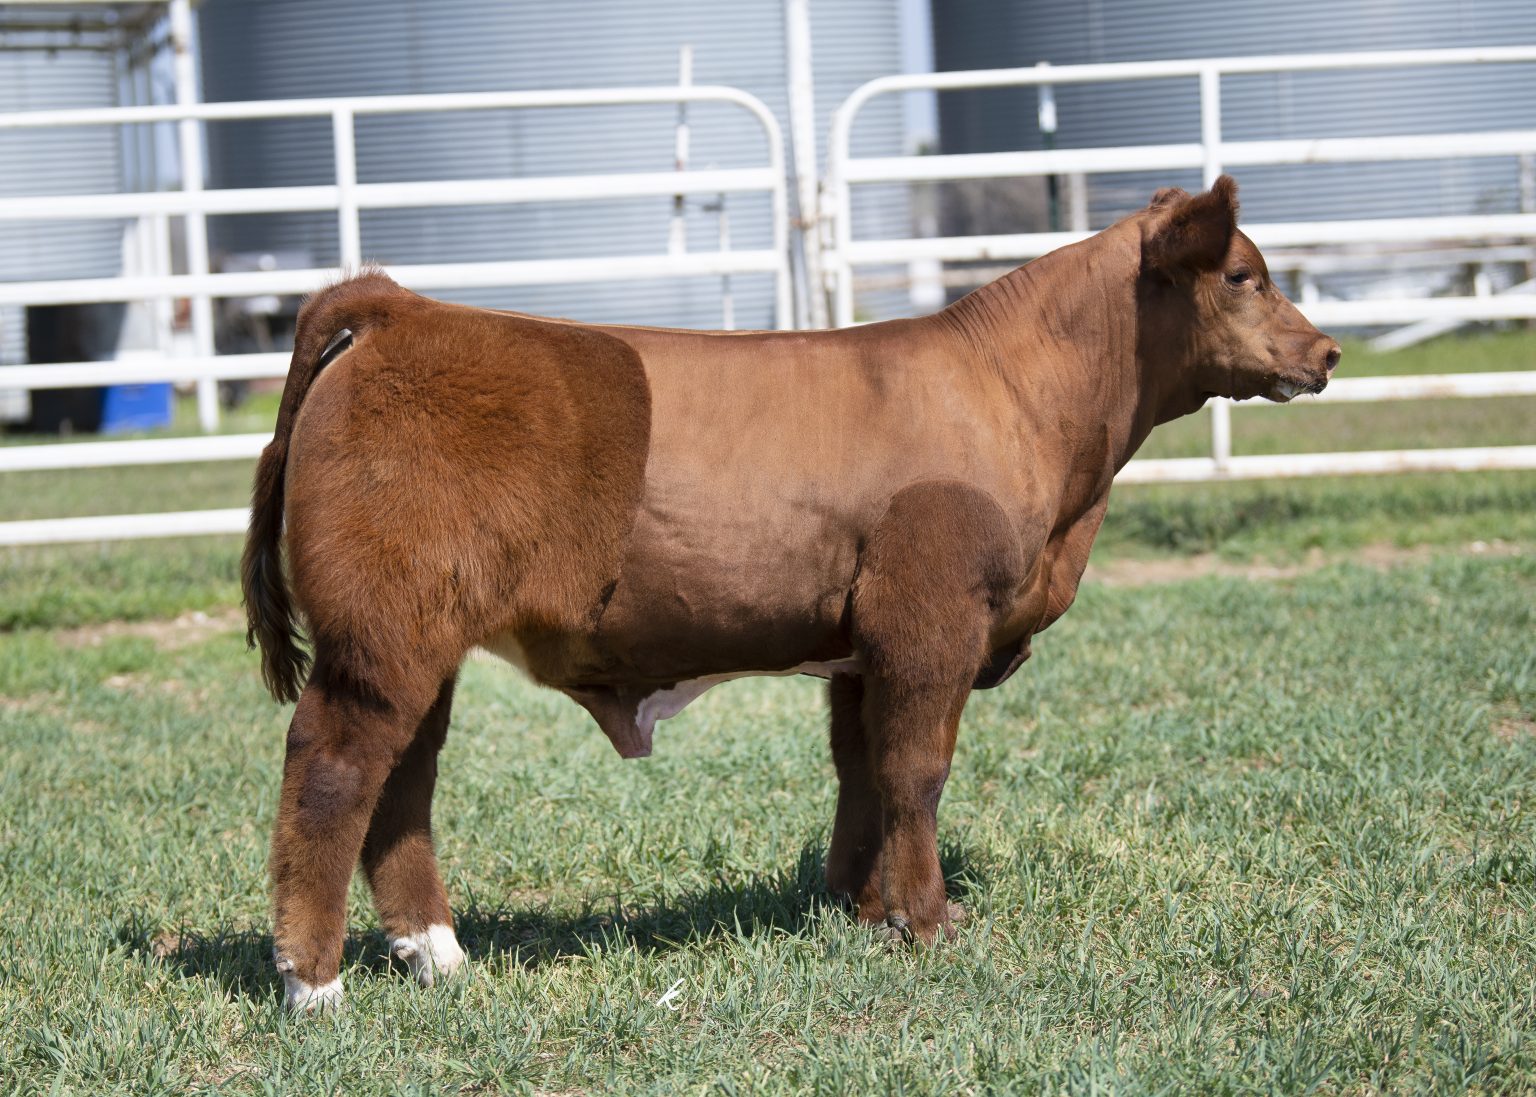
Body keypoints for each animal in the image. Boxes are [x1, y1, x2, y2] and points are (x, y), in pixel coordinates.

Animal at [242, 175, 1339, 1010]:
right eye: (1241, 275)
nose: (1326, 351)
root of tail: (402, 308)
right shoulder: (931, 621)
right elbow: (916, 770)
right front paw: (930, 920)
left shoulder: (861, 646)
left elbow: (861, 772)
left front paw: (863, 909)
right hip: (382, 636)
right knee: (335, 769)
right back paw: (315, 983)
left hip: (419, 639)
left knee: (404, 778)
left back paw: (436, 952)